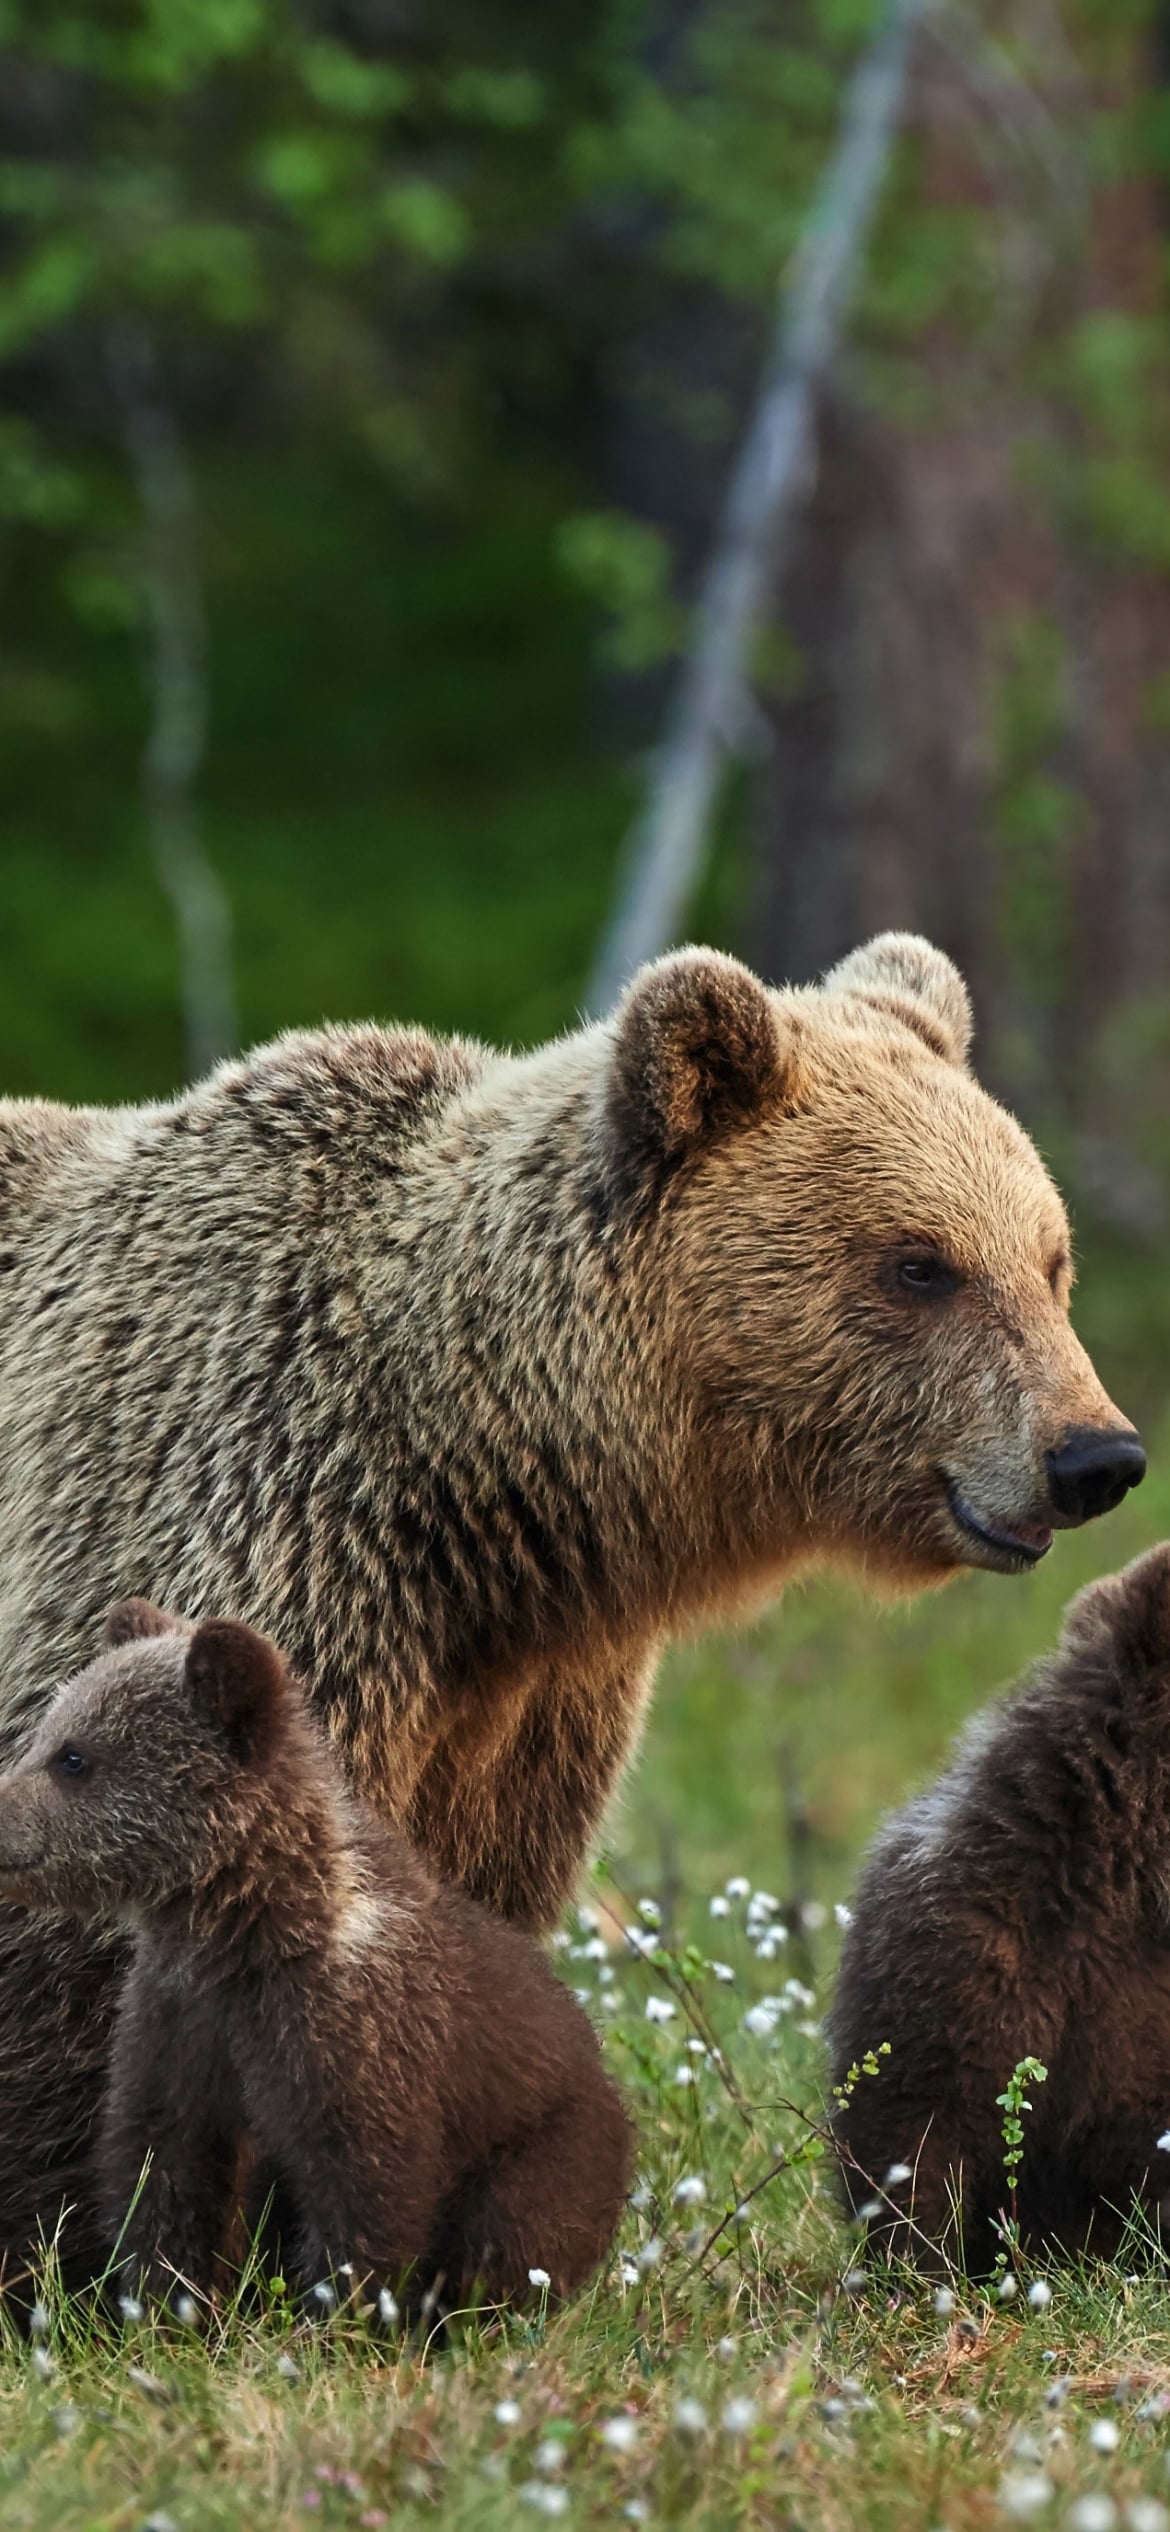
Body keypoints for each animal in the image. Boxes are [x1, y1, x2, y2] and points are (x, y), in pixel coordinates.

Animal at [0, 1598, 633, 2311]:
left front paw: (334, 2311)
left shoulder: (354, 2038)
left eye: (73, 1758)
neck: (243, 1928)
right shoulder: (176, 2021)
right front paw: (164, 2305)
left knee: (509, 2237)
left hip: (546, 2143)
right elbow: (161, 2171)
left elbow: (365, 2195)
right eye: (49, 1735)